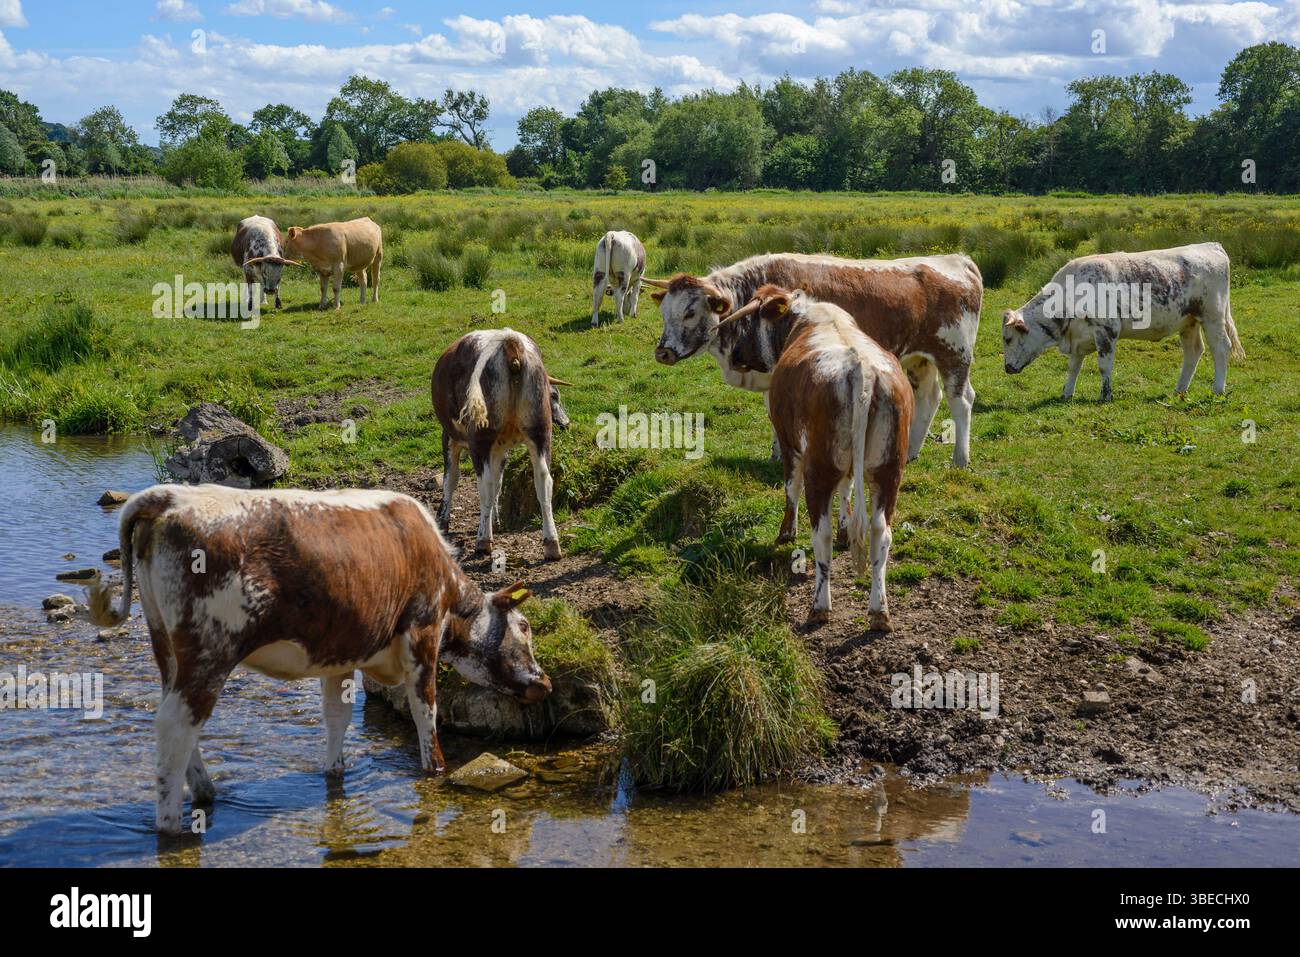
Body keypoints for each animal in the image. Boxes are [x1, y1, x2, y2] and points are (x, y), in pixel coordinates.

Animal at [87, 484, 550, 835]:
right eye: (525, 626)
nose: (543, 683)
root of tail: (169, 496)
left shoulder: (341, 656)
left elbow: (336, 718)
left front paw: (335, 771)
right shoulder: (422, 635)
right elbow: (425, 711)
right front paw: (434, 768)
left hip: (166, 646)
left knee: (180, 720)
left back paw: (205, 792)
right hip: (209, 652)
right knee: (176, 727)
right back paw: (171, 826)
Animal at [432, 329, 572, 561]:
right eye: (554, 396)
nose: (566, 422)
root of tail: (510, 343)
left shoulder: (450, 437)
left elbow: (451, 479)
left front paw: (443, 520)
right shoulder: (500, 448)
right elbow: (499, 481)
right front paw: (495, 520)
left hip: (480, 439)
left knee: (485, 485)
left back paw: (483, 540)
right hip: (540, 434)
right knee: (543, 482)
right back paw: (551, 543)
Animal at [648, 251, 982, 468]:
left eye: (690, 312)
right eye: (664, 312)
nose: (662, 352)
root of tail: (957, 260)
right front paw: (775, 454)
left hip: (955, 355)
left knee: (961, 401)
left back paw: (960, 459)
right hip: (919, 358)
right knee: (929, 397)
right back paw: (912, 451)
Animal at [717, 285, 913, 631]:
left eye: (749, 321)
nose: (736, 355)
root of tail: (862, 371)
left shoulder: (789, 443)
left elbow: (790, 488)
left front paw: (786, 531)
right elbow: (847, 490)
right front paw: (846, 525)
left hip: (819, 468)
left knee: (821, 535)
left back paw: (820, 605)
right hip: (888, 470)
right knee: (881, 533)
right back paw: (879, 611)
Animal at [1002, 242, 1243, 401]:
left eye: (1008, 339)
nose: (1007, 368)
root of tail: (1211, 245)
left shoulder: (1107, 330)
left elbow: (1104, 366)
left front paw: (1106, 395)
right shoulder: (1078, 337)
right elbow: (1073, 367)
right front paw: (1066, 393)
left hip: (1213, 316)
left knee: (1221, 348)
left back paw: (1218, 389)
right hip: (1189, 322)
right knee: (1193, 352)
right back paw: (1179, 390)